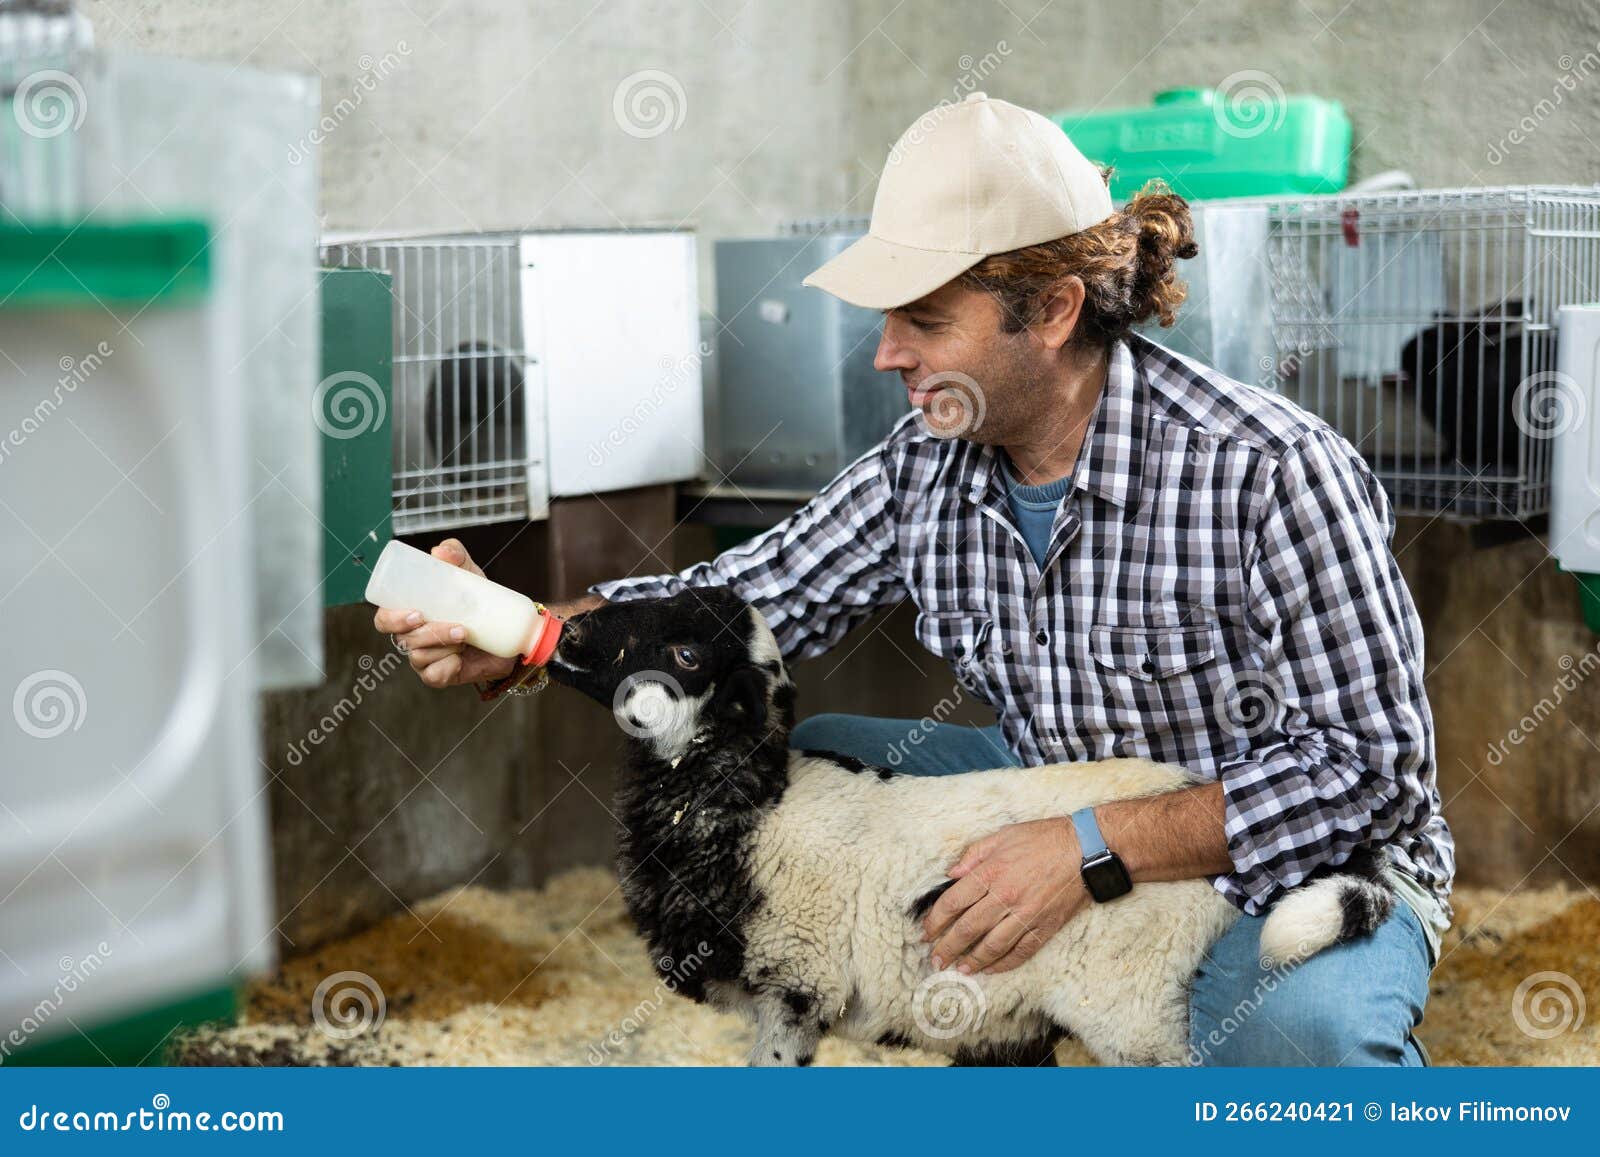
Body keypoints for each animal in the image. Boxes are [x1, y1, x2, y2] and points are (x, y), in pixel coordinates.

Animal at [547, 586, 1396, 1066]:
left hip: (1136, 1007)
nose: (567, 635)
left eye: (687, 652)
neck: (750, 810)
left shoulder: (798, 987)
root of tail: (1204, 796)